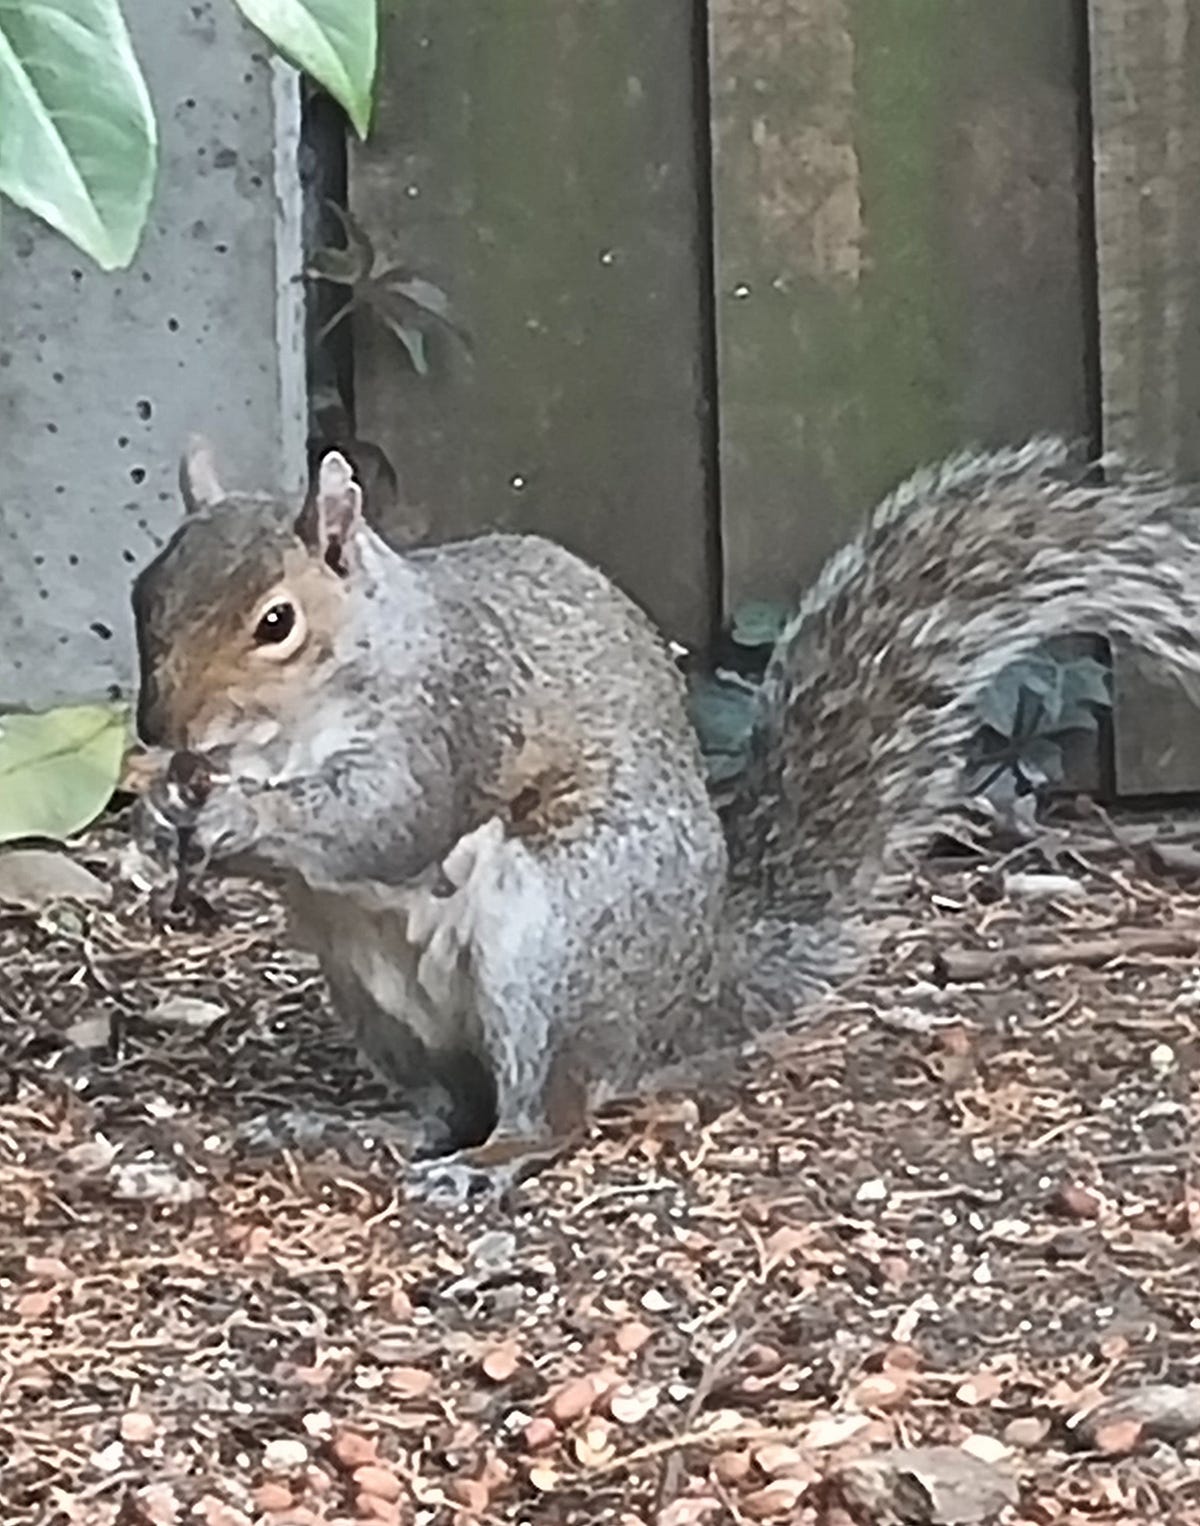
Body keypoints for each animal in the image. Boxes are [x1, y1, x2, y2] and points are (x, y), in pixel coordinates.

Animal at [130, 435, 1200, 1189]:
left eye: (276, 622)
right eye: (146, 590)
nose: (154, 723)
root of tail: (683, 995)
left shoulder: (452, 719)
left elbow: (390, 820)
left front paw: (242, 821)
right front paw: (160, 812)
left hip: (555, 948)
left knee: (548, 1108)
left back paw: (490, 1161)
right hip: (370, 994)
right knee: (439, 1102)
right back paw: (358, 1125)